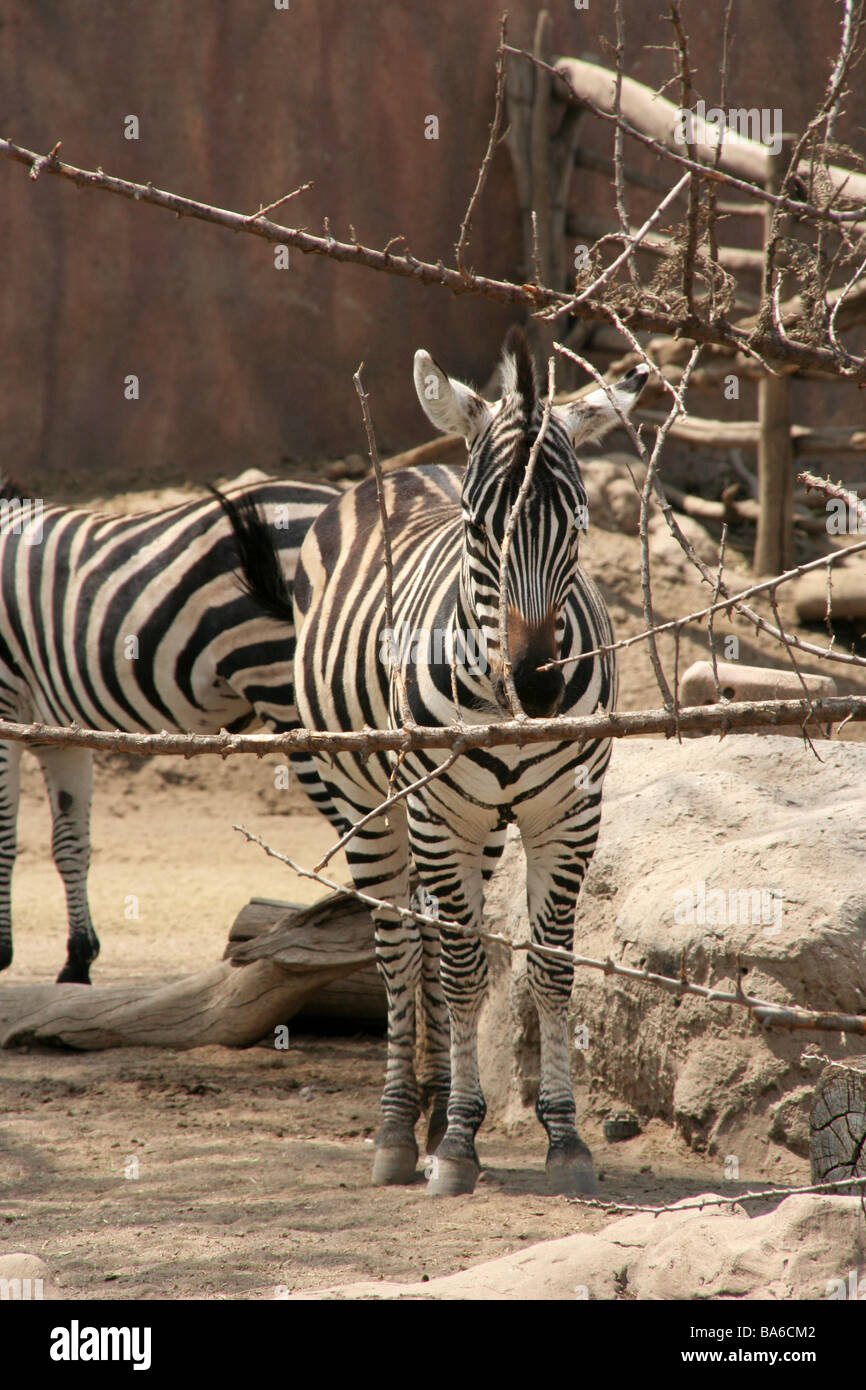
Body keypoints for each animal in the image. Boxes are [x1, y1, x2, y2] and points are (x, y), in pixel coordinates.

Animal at [220, 327, 648, 1196]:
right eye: (479, 531)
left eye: (579, 528)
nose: (539, 687)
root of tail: (413, 466)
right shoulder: (431, 808)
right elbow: (456, 971)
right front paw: (454, 1147)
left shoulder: (570, 814)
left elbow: (548, 969)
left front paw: (561, 1137)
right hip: (369, 805)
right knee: (399, 946)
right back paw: (399, 1129)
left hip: (478, 828)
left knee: (441, 941)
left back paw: (437, 1105)